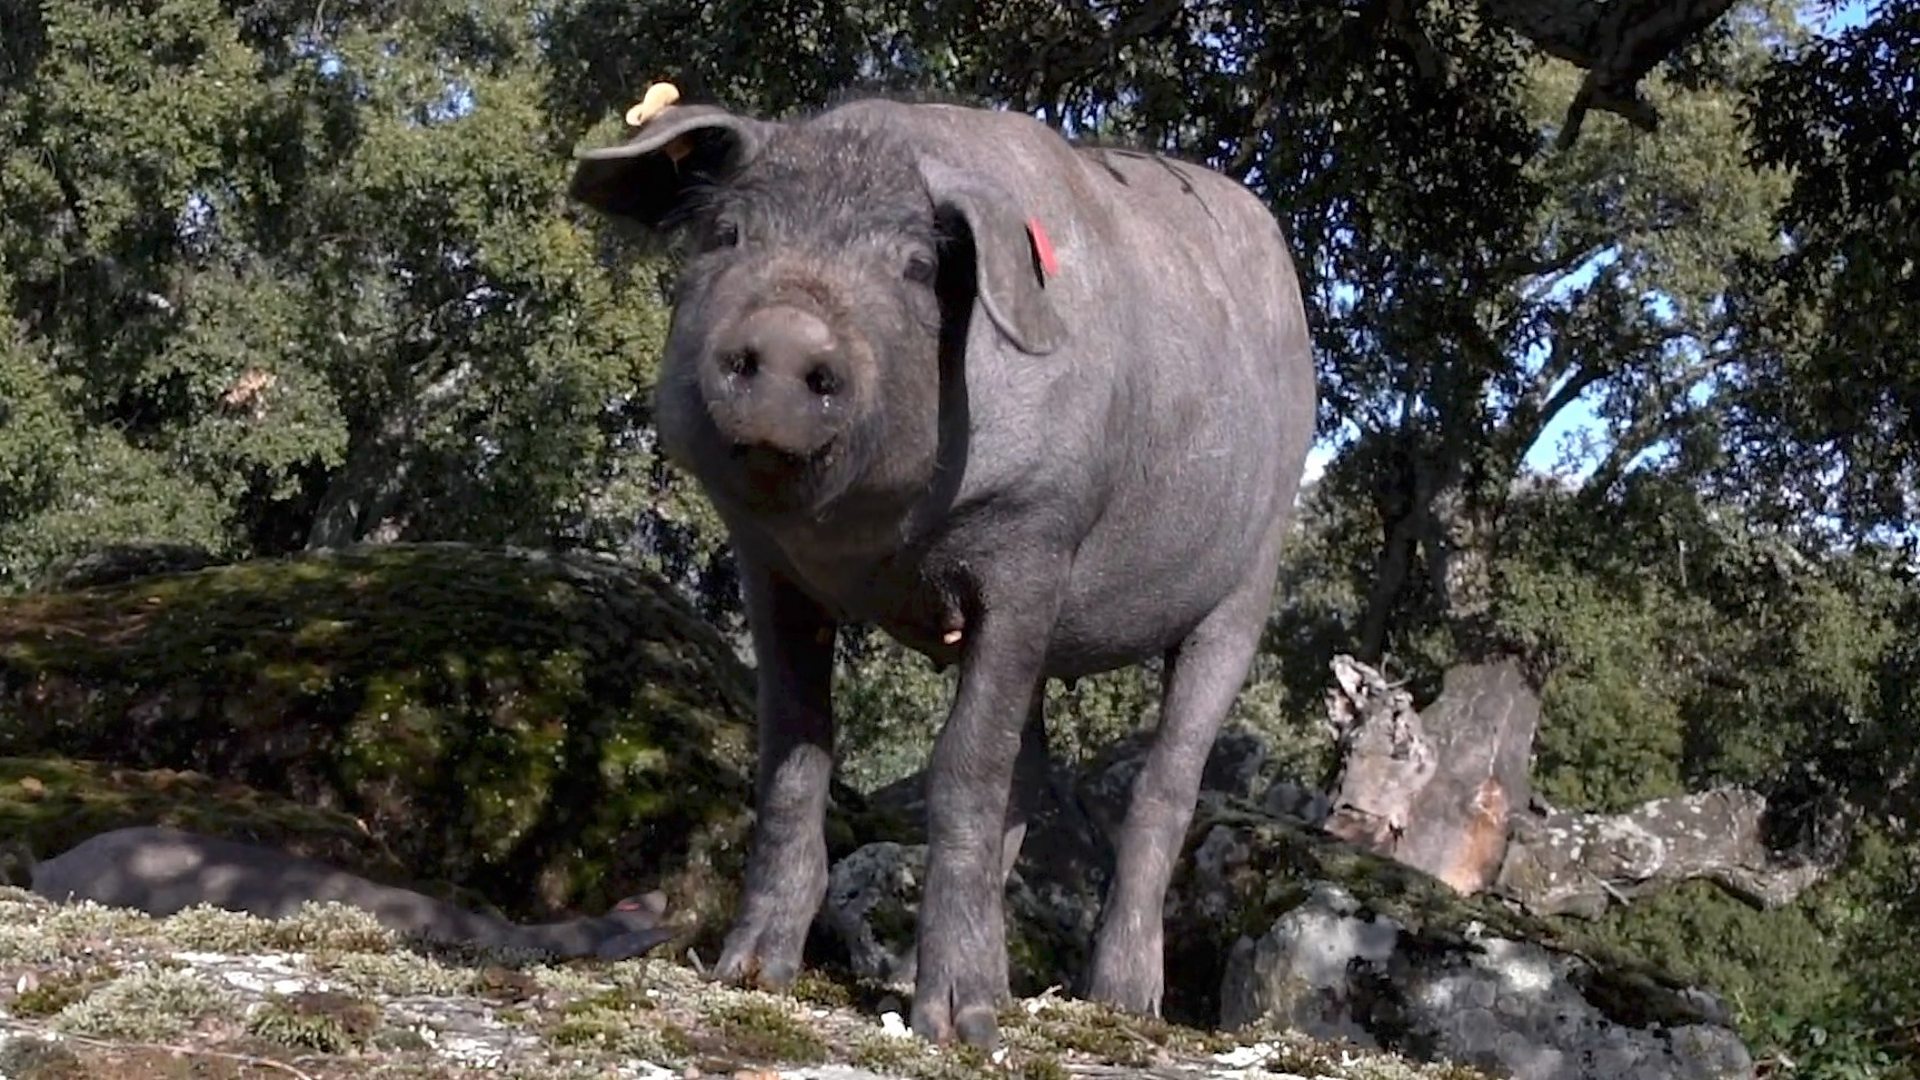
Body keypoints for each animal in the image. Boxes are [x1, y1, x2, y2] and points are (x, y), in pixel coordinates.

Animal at [567, 91, 1317, 1047]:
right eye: (726, 233)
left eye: (918, 268)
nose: (787, 334)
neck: (867, 543)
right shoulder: (772, 566)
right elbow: (794, 753)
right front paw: (749, 975)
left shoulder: (1034, 540)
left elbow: (964, 765)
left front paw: (961, 1028)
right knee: (1026, 776)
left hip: (1250, 576)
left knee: (1167, 778)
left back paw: (1116, 1001)